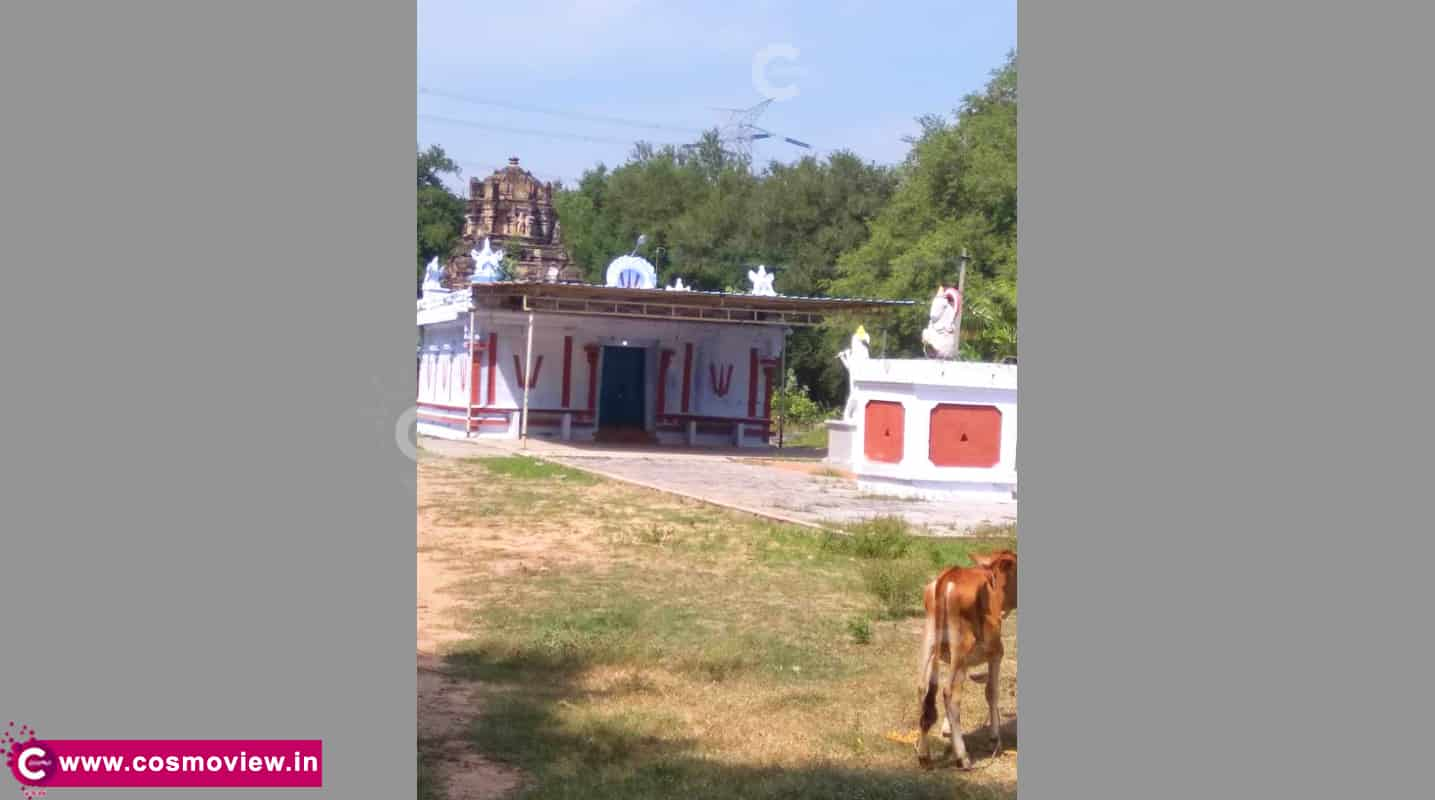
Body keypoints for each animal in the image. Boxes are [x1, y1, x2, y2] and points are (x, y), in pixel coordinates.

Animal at [912, 548, 1015, 769]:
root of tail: (948, 576)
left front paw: (947, 729)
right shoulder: (996, 654)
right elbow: (992, 692)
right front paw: (994, 738)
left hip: (930, 643)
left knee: (923, 688)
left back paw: (923, 754)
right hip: (960, 650)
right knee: (949, 692)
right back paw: (962, 757)